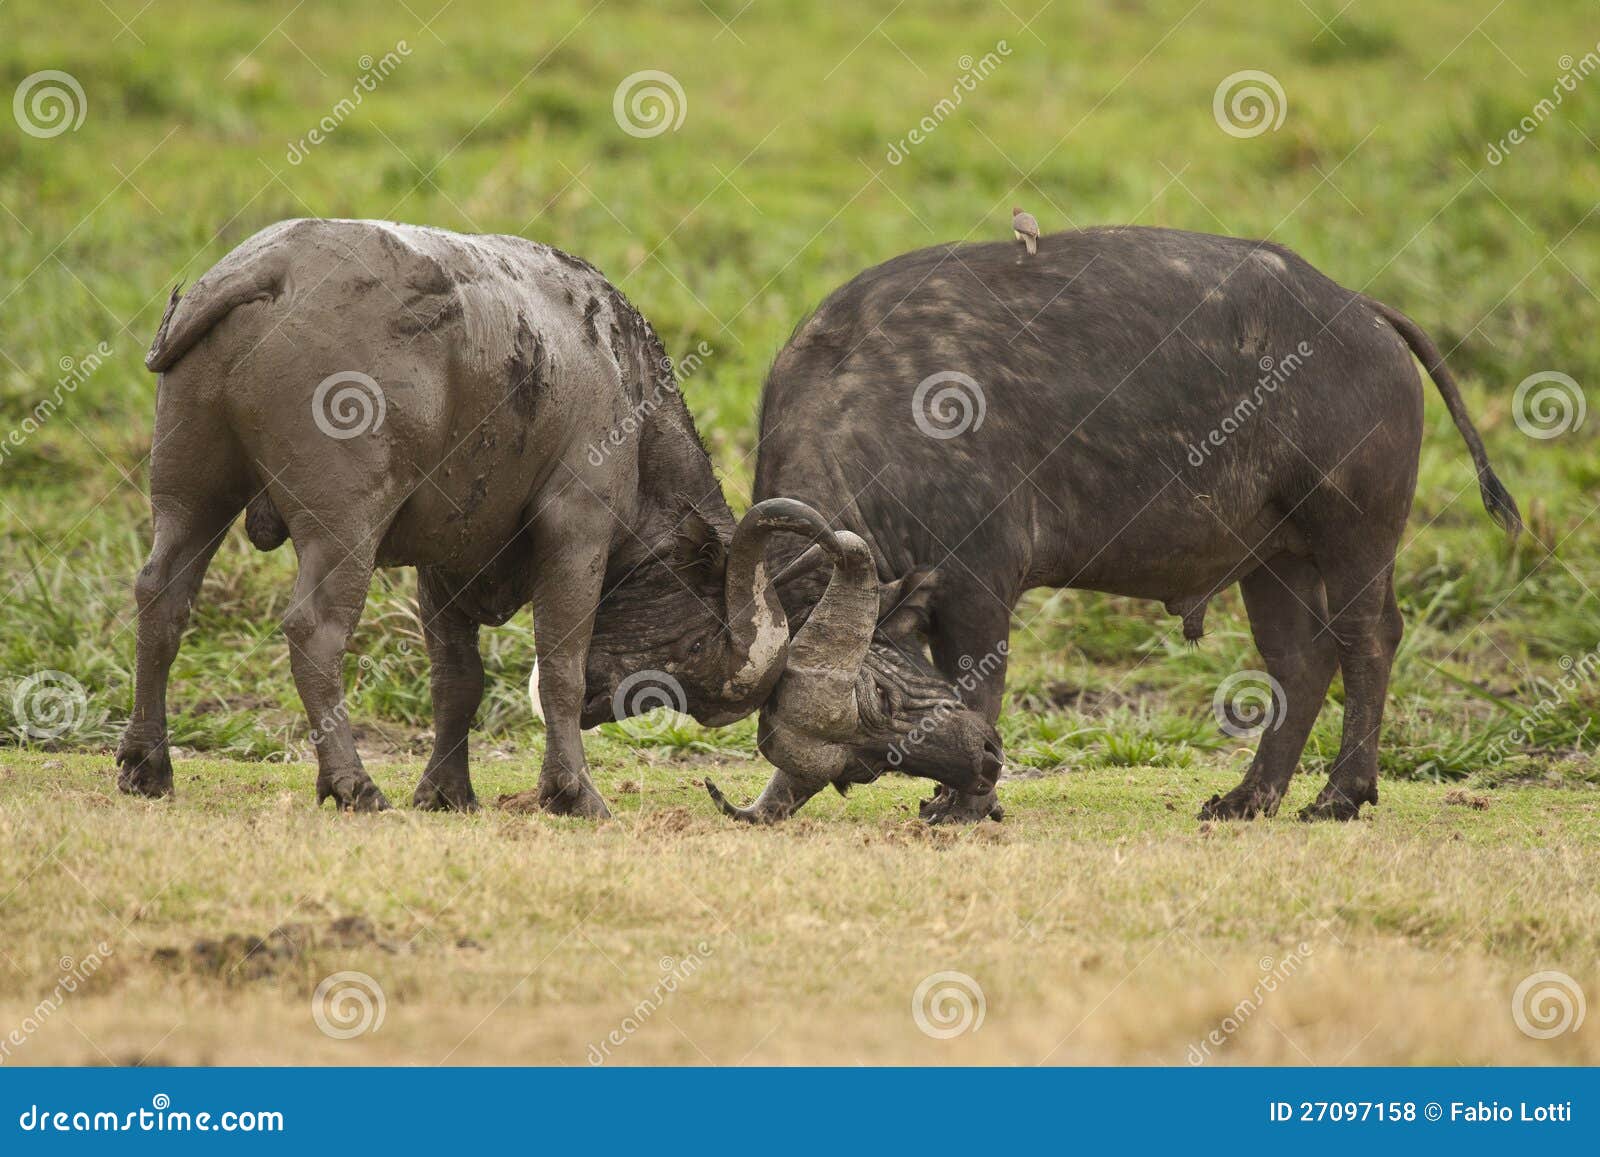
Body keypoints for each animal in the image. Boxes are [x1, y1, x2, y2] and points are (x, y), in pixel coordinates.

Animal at [706, 225, 1518, 823]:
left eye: (878, 701)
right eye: (862, 767)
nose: (983, 760)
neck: (877, 406)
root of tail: (1363, 311)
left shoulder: (980, 585)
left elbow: (981, 683)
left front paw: (967, 805)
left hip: (1355, 538)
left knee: (1367, 640)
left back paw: (1340, 795)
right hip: (1272, 560)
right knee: (1302, 659)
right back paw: (1249, 797)